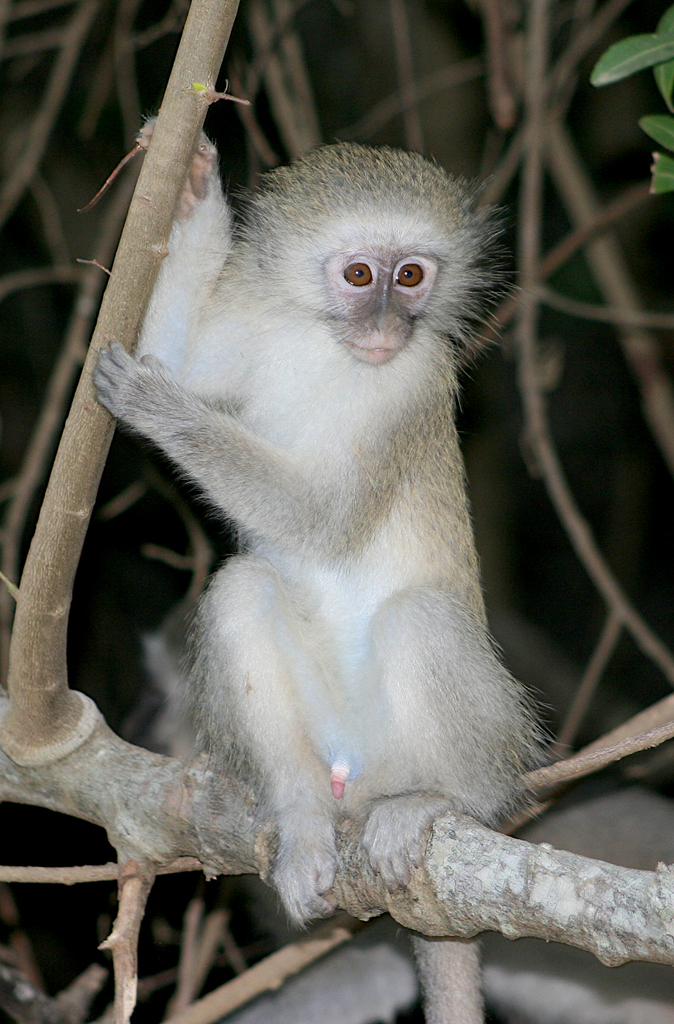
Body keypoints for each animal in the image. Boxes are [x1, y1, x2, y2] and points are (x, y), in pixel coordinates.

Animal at [94, 131, 543, 938]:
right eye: (361, 275)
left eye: (411, 276)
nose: (388, 328)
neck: (330, 350)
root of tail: (355, 778)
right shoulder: (258, 325)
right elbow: (182, 360)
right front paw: (193, 189)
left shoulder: (408, 384)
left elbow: (322, 519)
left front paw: (160, 408)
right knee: (242, 590)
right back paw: (302, 817)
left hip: (425, 750)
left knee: (419, 620)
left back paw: (447, 799)